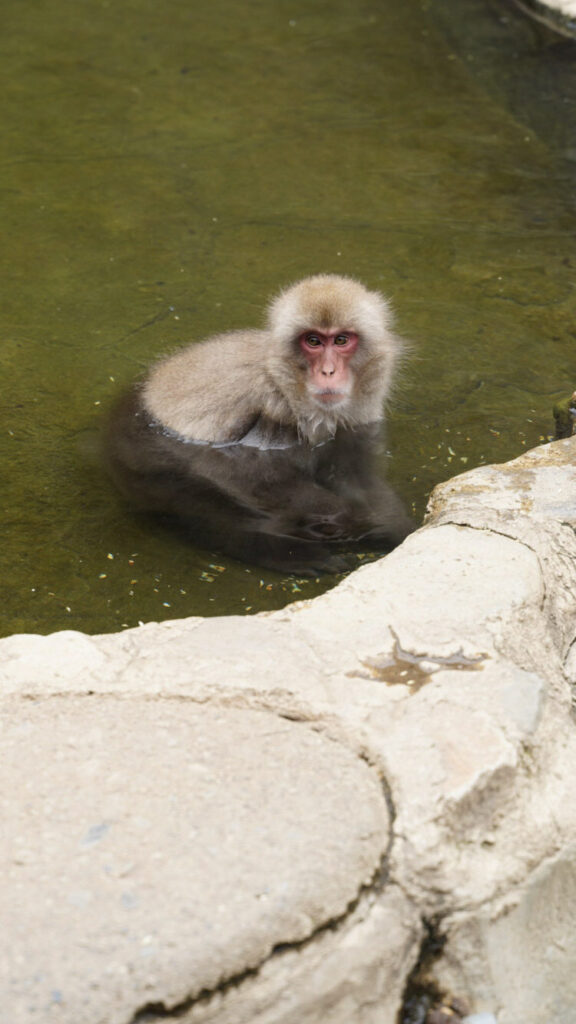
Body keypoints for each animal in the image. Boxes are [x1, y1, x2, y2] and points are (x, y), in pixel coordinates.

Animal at [106, 275, 413, 575]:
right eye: (313, 341)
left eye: (340, 340)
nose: (328, 371)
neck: (286, 384)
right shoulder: (270, 411)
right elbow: (239, 471)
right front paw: (346, 517)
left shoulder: (356, 420)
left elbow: (354, 472)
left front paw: (391, 524)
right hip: (143, 465)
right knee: (198, 506)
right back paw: (281, 551)